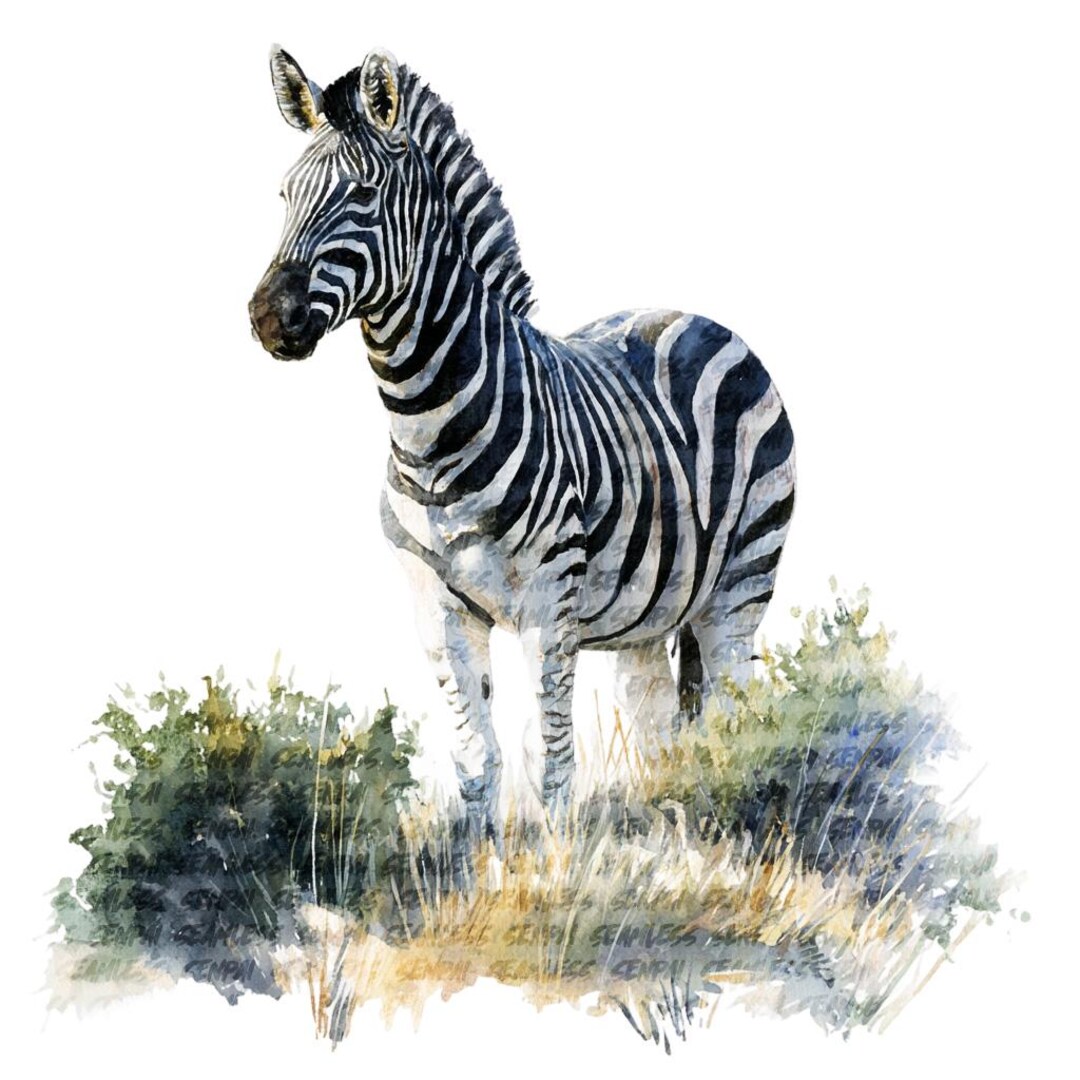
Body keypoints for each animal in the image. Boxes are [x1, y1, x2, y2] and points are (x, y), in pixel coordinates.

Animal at [249, 47, 796, 842]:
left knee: (731, 717)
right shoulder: (435, 606)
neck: (428, 427)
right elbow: (478, 763)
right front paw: (482, 869)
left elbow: (552, 764)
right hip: (646, 620)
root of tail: (691, 316)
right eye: (285, 194)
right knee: (663, 735)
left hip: (741, 584)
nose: (269, 317)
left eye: (365, 192)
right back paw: (679, 836)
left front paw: (563, 867)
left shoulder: (549, 601)